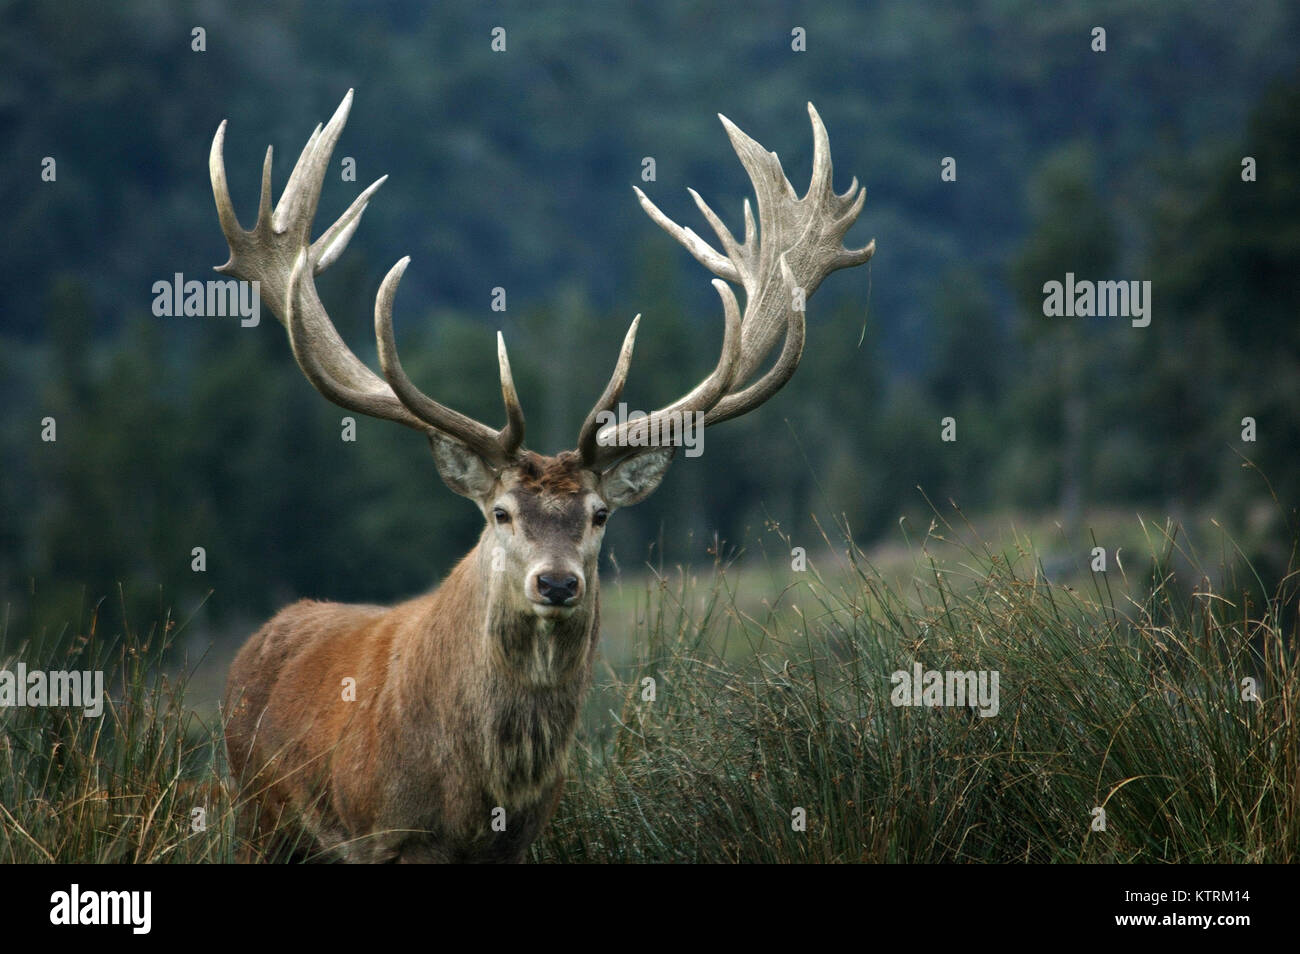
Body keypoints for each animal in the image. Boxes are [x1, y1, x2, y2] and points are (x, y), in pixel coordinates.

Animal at [213, 90, 873, 863]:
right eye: (500, 513)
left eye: (599, 514)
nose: (557, 583)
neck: (478, 797)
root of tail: (256, 643)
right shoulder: (386, 833)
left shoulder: (520, 842)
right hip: (258, 816)